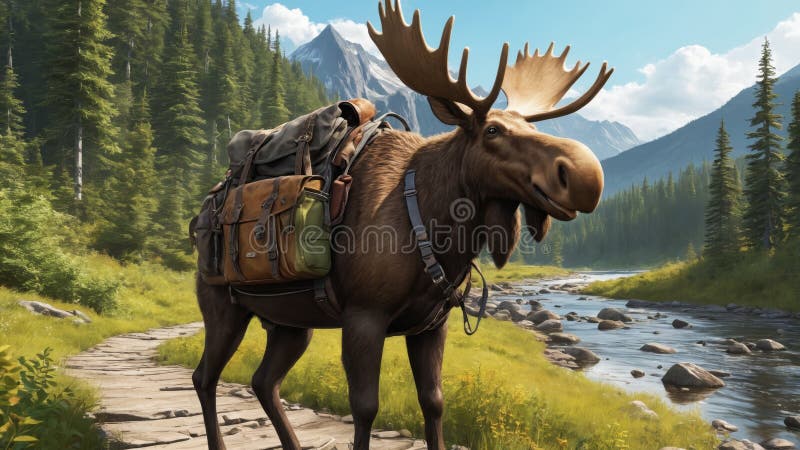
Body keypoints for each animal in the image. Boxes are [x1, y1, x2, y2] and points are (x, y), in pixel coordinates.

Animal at [192, 1, 612, 449]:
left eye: (533, 127)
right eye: (493, 130)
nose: (585, 176)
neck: (439, 230)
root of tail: (202, 210)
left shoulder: (432, 325)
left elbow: (434, 403)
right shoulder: (364, 315)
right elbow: (365, 408)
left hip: (291, 322)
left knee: (263, 380)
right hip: (224, 306)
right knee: (205, 377)